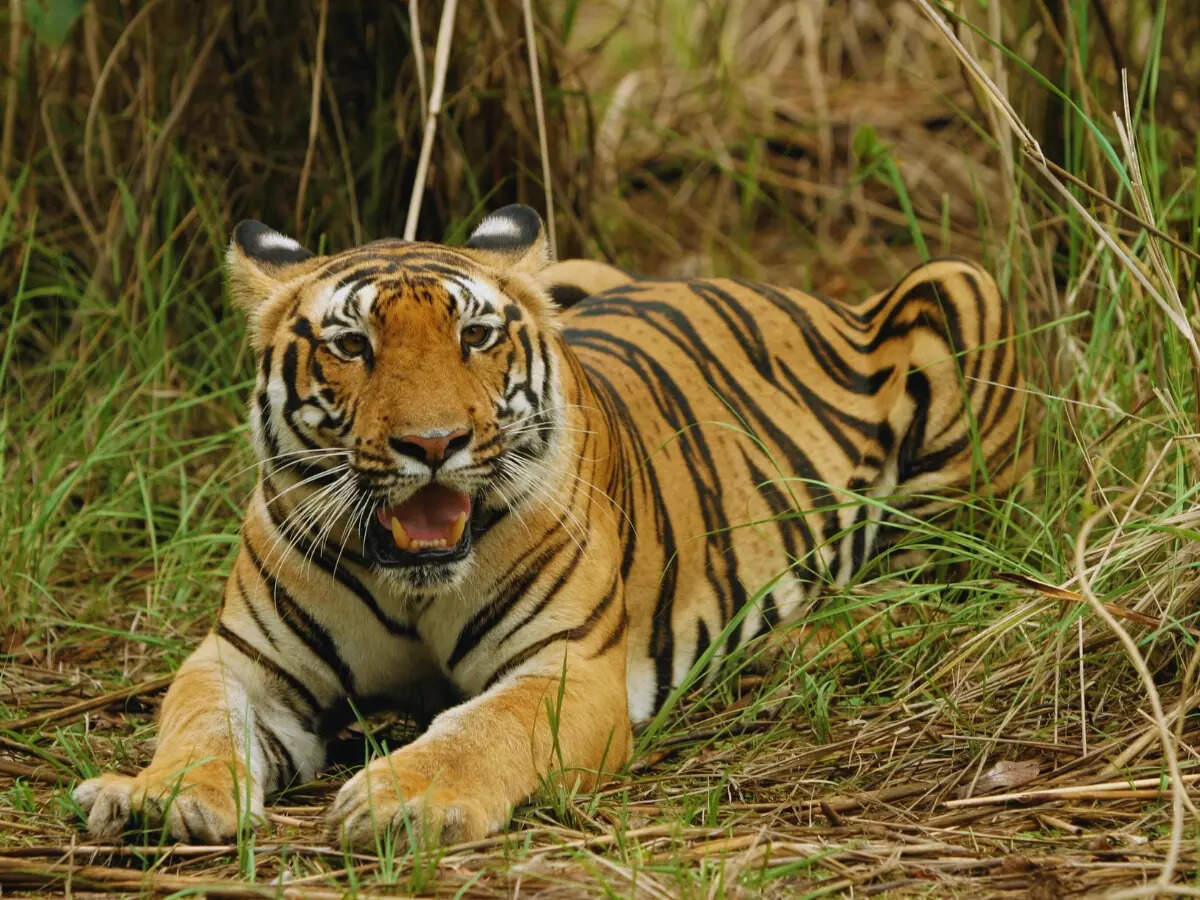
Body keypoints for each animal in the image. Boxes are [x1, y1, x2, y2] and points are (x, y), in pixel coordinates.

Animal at [73, 204, 1029, 847]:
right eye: (351, 347)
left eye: (476, 335)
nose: (433, 444)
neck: (410, 583)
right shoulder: (241, 660)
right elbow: (199, 724)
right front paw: (156, 795)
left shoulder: (570, 665)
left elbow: (485, 729)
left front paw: (404, 801)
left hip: (963, 294)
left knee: (956, 563)